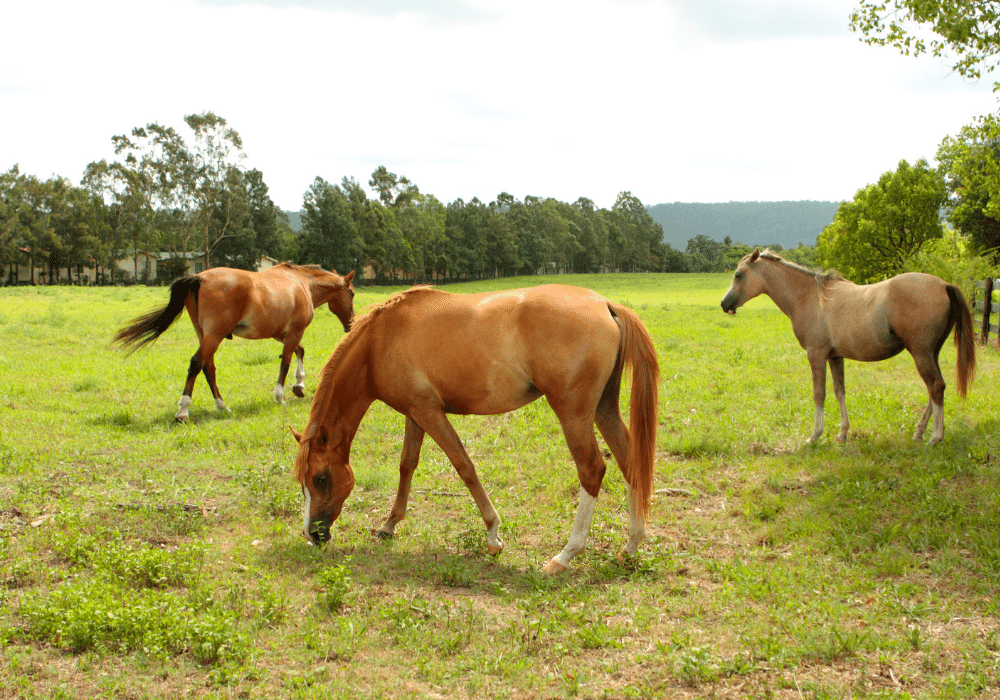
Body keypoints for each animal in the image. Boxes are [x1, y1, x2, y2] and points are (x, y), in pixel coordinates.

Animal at [113, 263, 355, 422]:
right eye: (352, 293)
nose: (351, 323)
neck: (302, 283)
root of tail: (199, 278)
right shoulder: (294, 332)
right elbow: (286, 362)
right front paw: (281, 396)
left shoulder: (281, 334)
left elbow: (300, 352)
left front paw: (299, 386)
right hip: (214, 336)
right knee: (196, 363)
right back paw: (183, 410)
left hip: (205, 335)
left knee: (208, 368)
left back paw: (222, 406)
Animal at [290, 284, 660, 574]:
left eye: (320, 478)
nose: (313, 535)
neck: (380, 341)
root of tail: (605, 304)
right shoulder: (415, 413)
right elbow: (407, 465)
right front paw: (389, 525)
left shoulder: (430, 412)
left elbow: (464, 465)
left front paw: (493, 535)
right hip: (604, 409)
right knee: (630, 462)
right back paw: (632, 545)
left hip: (574, 415)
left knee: (592, 469)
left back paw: (565, 555)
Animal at [721, 248, 975, 445]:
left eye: (739, 275)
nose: (724, 304)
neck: (809, 297)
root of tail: (944, 285)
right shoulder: (835, 357)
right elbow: (839, 391)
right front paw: (842, 433)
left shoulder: (816, 354)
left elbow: (819, 393)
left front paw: (815, 436)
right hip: (931, 353)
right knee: (936, 389)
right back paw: (920, 431)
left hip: (921, 353)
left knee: (935, 386)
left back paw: (935, 437)